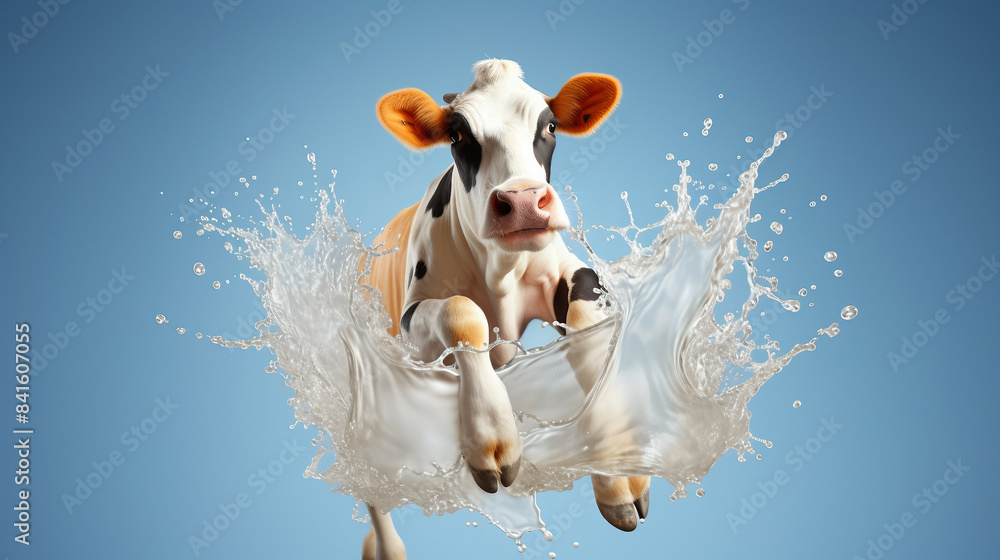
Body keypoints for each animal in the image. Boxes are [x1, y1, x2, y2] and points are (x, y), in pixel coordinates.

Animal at [359, 59, 649, 560]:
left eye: (549, 126)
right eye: (457, 135)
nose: (523, 203)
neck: (500, 272)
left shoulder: (565, 274)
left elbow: (587, 329)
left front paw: (620, 473)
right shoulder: (415, 315)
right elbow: (461, 312)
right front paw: (492, 437)